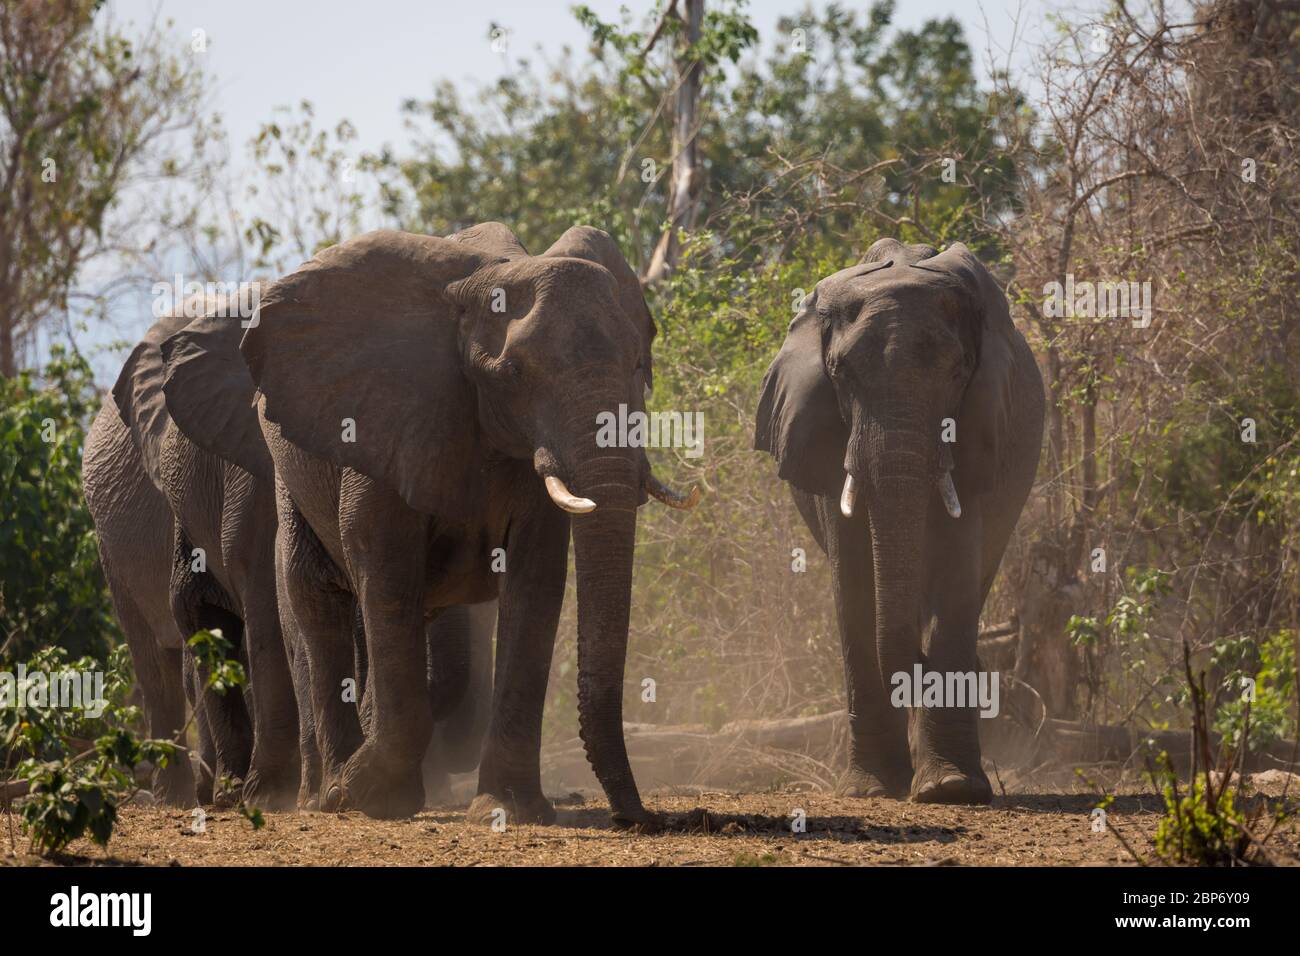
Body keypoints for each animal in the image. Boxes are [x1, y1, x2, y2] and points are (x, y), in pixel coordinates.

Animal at [230, 223, 694, 826]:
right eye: (514, 374)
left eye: (640, 366)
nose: (638, 818)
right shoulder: (383, 420)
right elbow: (384, 568)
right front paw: (363, 797)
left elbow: (536, 579)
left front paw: (509, 809)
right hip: (290, 464)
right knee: (317, 601)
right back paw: (328, 794)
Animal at [754, 238, 1044, 805]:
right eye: (841, 374)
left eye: (957, 373)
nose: (919, 661)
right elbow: (852, 582)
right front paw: (868, 791)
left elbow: (956, 572)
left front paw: (950, 788)